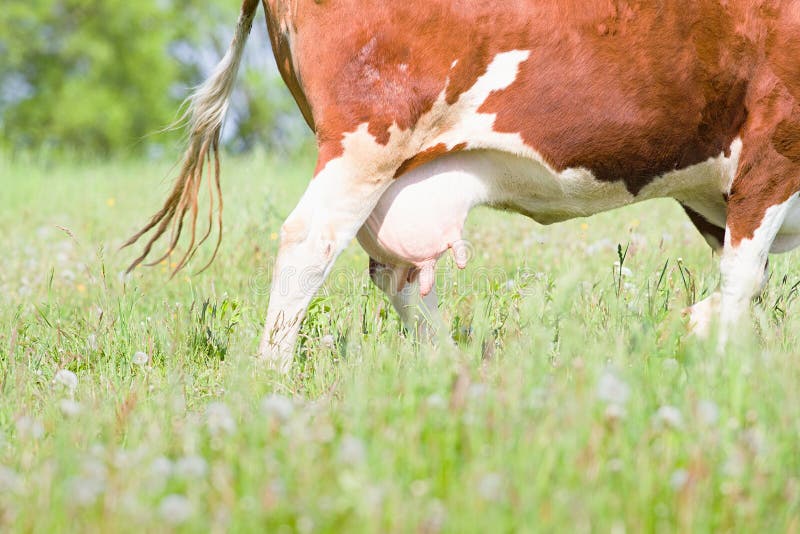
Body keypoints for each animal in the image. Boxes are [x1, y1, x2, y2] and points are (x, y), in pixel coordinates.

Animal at [126, 0, 800, 372]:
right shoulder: (774, 142)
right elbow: (744, 277)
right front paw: (695, 334)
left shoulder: (715, 189)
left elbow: (748, 280)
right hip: (367, 136)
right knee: (310, 240)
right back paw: (273, 377)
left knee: (394, 272)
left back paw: (448, 367)